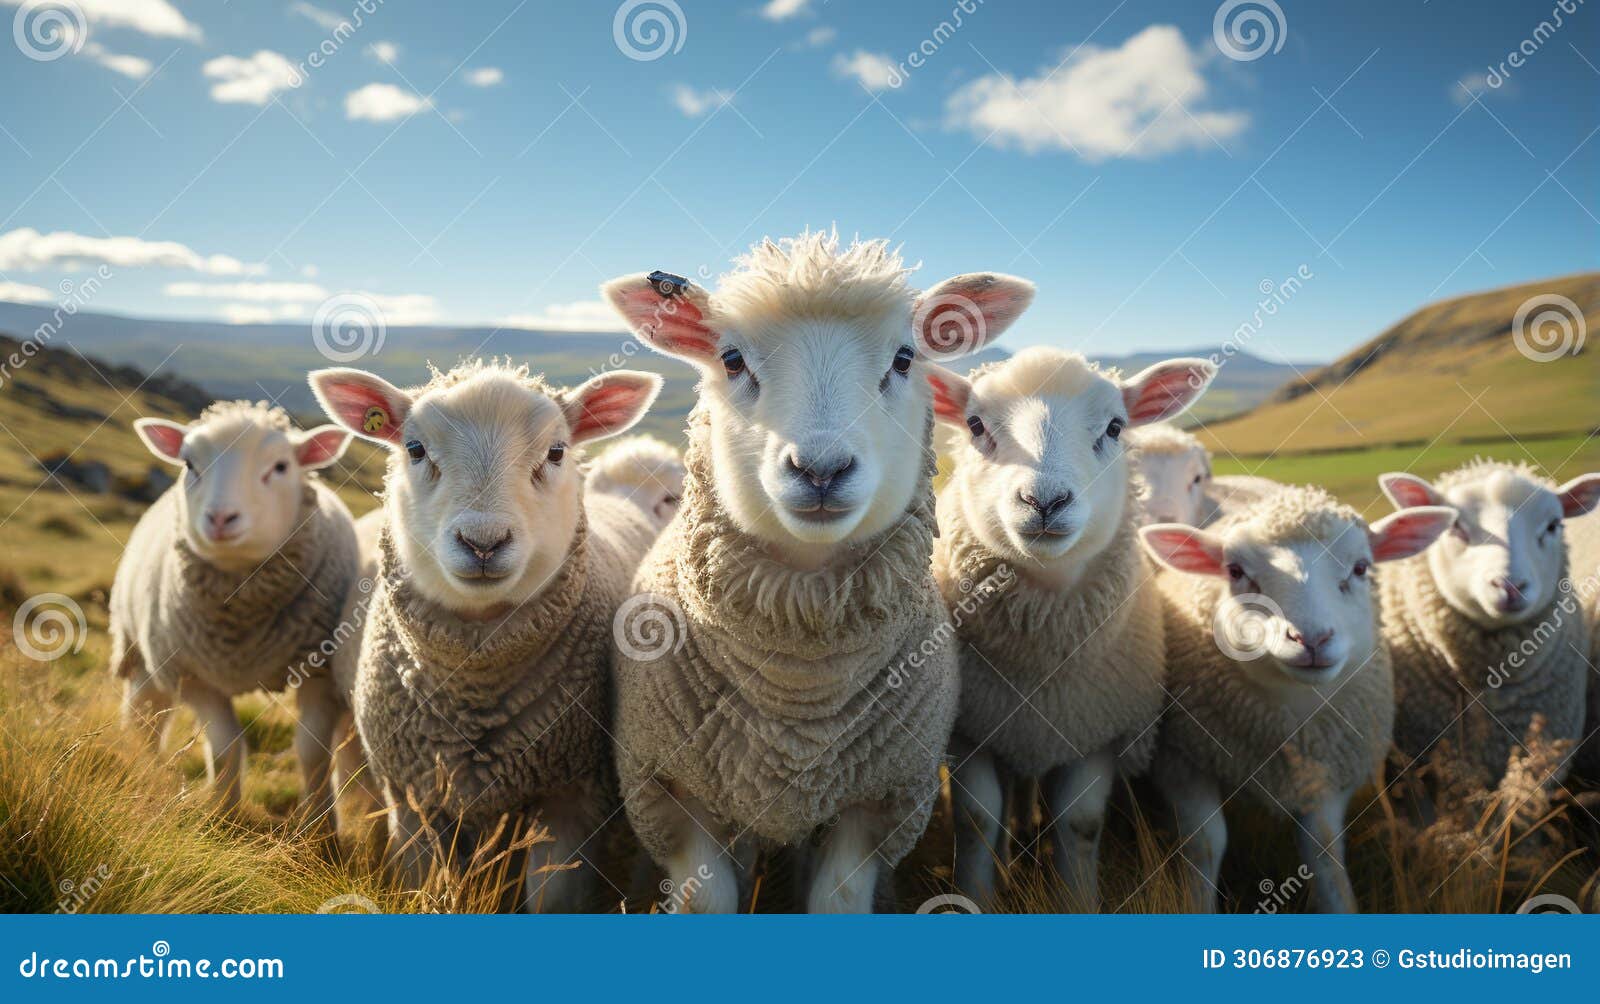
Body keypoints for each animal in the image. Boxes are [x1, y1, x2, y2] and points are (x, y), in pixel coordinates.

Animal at [109, 401, 359, 835]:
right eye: (189, 463)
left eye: (280, 466)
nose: (221, 518)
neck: (244, 625)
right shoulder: (195, 674)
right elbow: (225, 747)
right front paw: (223, 816)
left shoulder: (319, 671)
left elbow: (312, 750)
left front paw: (321, 831)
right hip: (143, 651)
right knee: (145, 715)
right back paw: (144, 768)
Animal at [308, 360, 663, 912]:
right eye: (415, 448)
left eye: (556, 451)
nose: (482, 542)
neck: (473, 688)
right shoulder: (412, 795)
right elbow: (422, 882)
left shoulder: (574, 797)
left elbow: (554, 900)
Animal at [600, 231, 1036, 913]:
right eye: (731, 360)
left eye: (905, 358)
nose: (822, 469)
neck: (798, 686)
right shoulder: (672, 794)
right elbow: (707, 899)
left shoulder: (882, 801)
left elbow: (839, 897)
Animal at [925, 348, 1216, 909]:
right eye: (975, 425)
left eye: (1115, 426)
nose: (1045, 502)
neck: (1040, 659)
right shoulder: (971, 731)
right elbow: (976, 822)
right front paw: (977, 893)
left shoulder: (1095, 733)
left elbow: (1080, 824)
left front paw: (1076, 898)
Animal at [1140, 488, 1456, 912]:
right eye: (1235, 571)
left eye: (1361, 568)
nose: (1312, 639)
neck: (1288, 729)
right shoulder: (1182, 761)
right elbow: (1205, 845)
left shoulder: (1325, 779)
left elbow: (1324, 855)